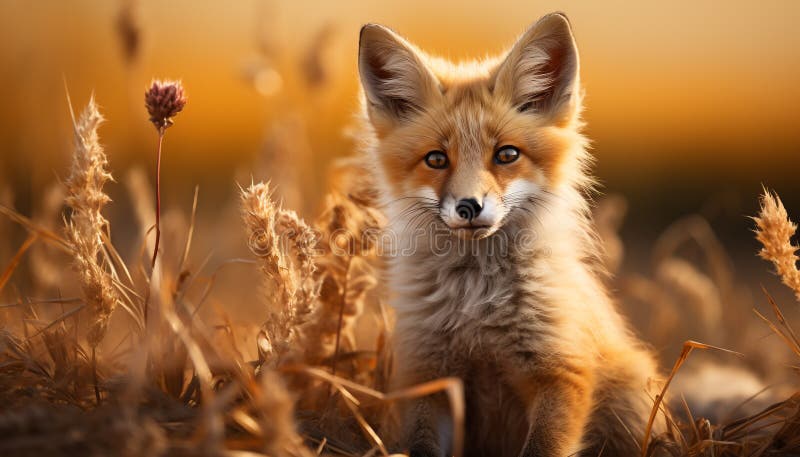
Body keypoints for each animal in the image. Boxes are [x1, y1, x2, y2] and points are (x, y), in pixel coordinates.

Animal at [355, 12, 663, 457]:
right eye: (436, 159)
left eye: (506, 154)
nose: (469, 206)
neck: (478, 308)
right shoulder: (428, 378)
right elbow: (421, 444)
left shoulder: (560, 374)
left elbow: (542, 447)